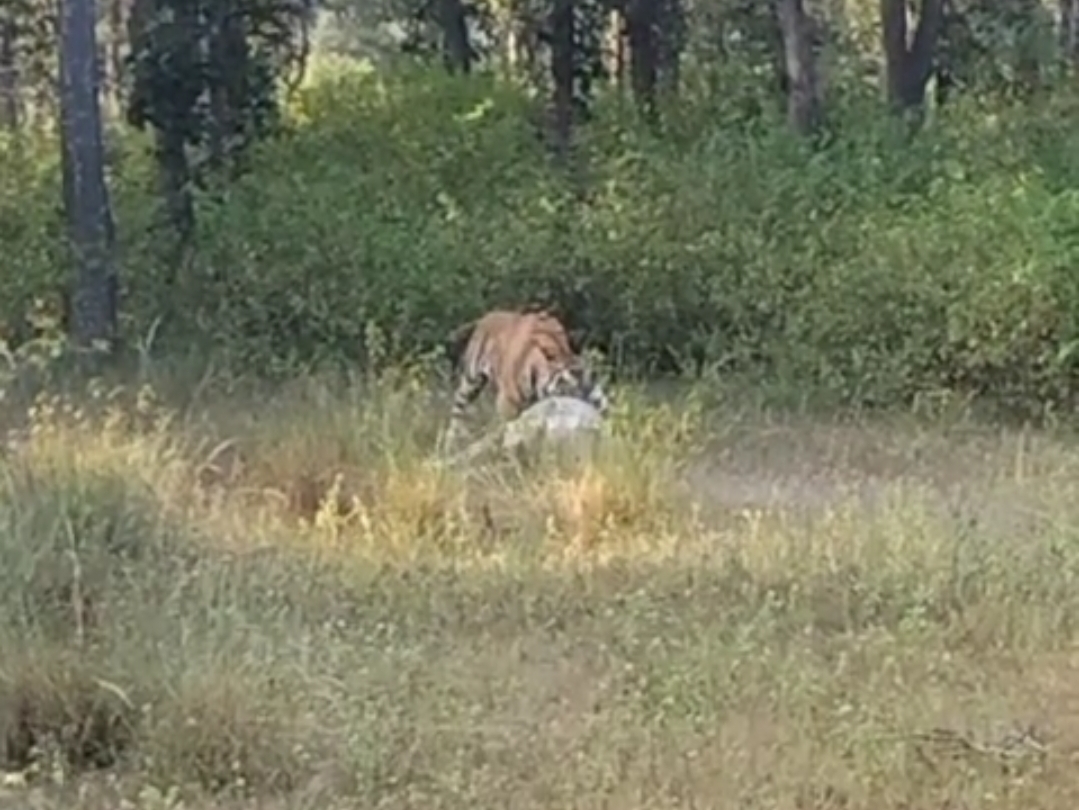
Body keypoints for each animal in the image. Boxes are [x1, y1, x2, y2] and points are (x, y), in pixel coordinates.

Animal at [443, 308, 610, 448]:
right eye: (567, 385)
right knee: (458, 408)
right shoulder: (507, 403)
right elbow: (509, 428)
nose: (583, 404)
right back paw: (450, 441)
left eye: (586, 386)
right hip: (471, 380)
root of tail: (490, 314)